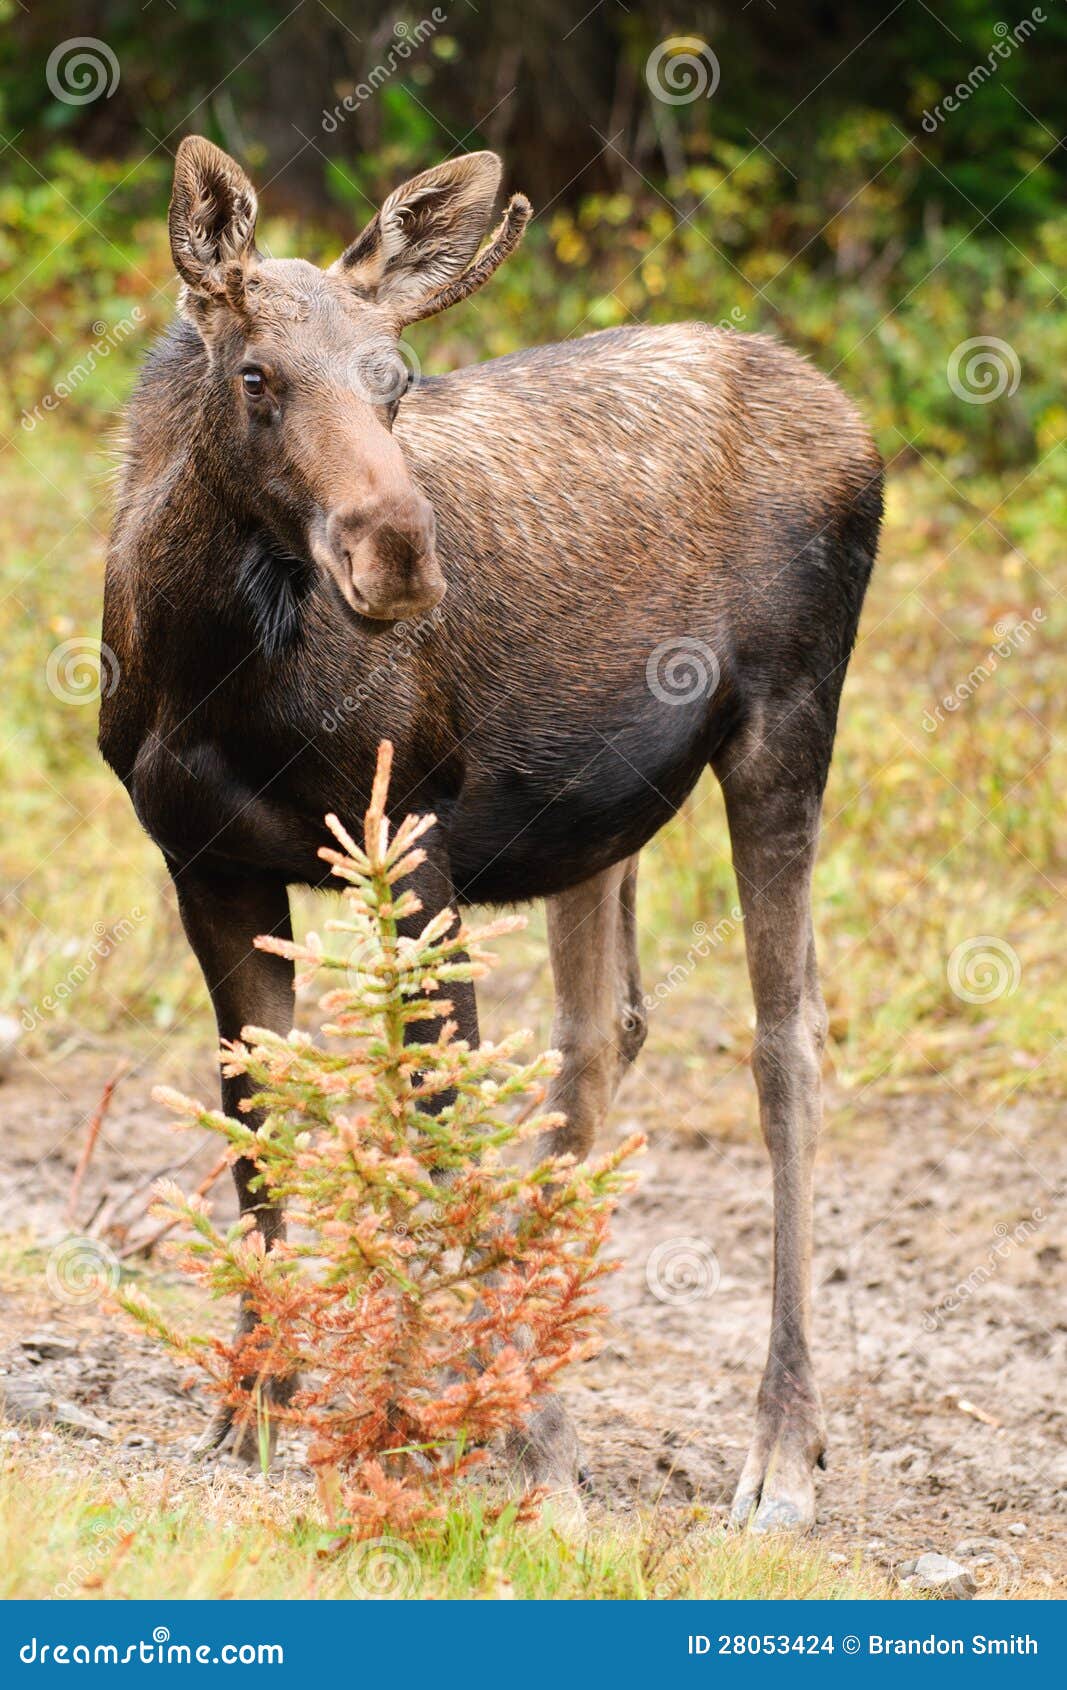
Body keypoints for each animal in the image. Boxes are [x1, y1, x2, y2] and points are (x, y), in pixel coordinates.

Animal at [99, 136, 883, 1532]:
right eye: (255, 375)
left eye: (397, 379)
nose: (399, 553)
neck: (205, 670)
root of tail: (850, 419)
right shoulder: (207, 863)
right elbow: (261, 1130)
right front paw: (257, 1410)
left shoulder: (414, 833)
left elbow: (435, 1121)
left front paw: (487, 1436)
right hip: (602, 816)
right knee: (599, 1033)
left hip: (784, 724)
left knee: (783, 1039)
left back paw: (779, 1452)